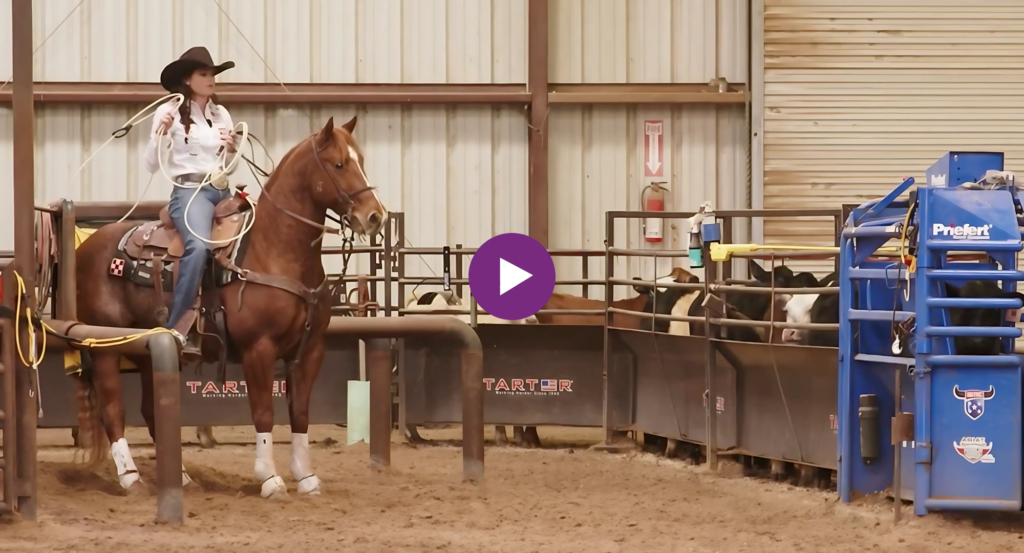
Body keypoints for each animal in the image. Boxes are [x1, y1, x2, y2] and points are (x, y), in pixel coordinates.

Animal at [73, 116, 387, 499]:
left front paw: (306, 477)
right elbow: (264, 412)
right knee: (113, 412)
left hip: (148, 353)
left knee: (151, 412)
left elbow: (300, 413)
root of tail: (86, 248)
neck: (274, 249)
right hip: (105, 349)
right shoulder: (258, 349)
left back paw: (180, 477)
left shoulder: (310, 350)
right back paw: (130, 477)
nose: (375, 217)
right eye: (339, 164)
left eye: (361, 160)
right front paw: (270, 479)